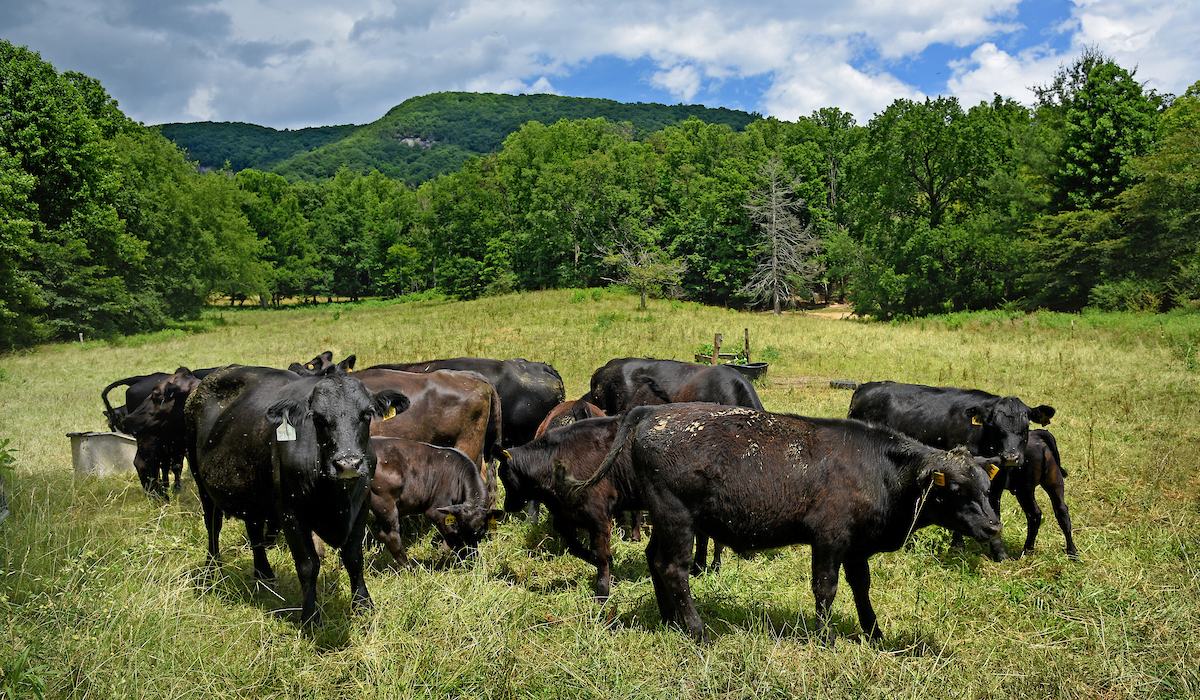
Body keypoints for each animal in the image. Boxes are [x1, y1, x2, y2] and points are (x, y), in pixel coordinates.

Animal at [184, 364, 409, 624]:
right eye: (318, 418)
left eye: (366, 414)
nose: (348, 463)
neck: (335, 500)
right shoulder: (290, 515)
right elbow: (308, 565)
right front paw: (310, 617)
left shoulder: (360, 506)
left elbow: (354, 558)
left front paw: (363, 605)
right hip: (201, 482)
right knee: (213, 527)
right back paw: (212, 573)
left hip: (252, 491)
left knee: (254, 529)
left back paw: (264, 574)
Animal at [369, 437, 502, 563]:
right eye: (461, 530)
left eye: (480, 531)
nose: (470, 554)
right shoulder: (436, 510)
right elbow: (452, 537)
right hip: (385, 503)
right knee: (391, 536)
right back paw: (409, 568)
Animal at [560, 403, 1001, 643]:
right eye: (956, 489)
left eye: (986, 487)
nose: (994, 528)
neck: (878, 467)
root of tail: (653, 412)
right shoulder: (829, 539)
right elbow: (826, 588)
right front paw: (825, 637)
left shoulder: (856, 545)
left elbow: (861, 589)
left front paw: (874, 634)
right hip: (677, 519)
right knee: (674, 568)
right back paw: (698, 630)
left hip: (668, 523)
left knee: (655, 560)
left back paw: (670, 619)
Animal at [847, 381, 1055, 561]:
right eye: (995, 427)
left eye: (1025, 427)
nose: (1011, 457)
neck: (981, 437)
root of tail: (866, 387)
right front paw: (957, 546)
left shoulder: (994, 484)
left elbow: (994, 512)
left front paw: (1000, 554)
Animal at [1002, 429, 1078, 559]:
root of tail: (1035, 435)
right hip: (1054, 483)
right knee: (1062, 513)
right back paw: (1072, 552)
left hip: (1024, 491)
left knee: (1034, 515)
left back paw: (1026, 550)